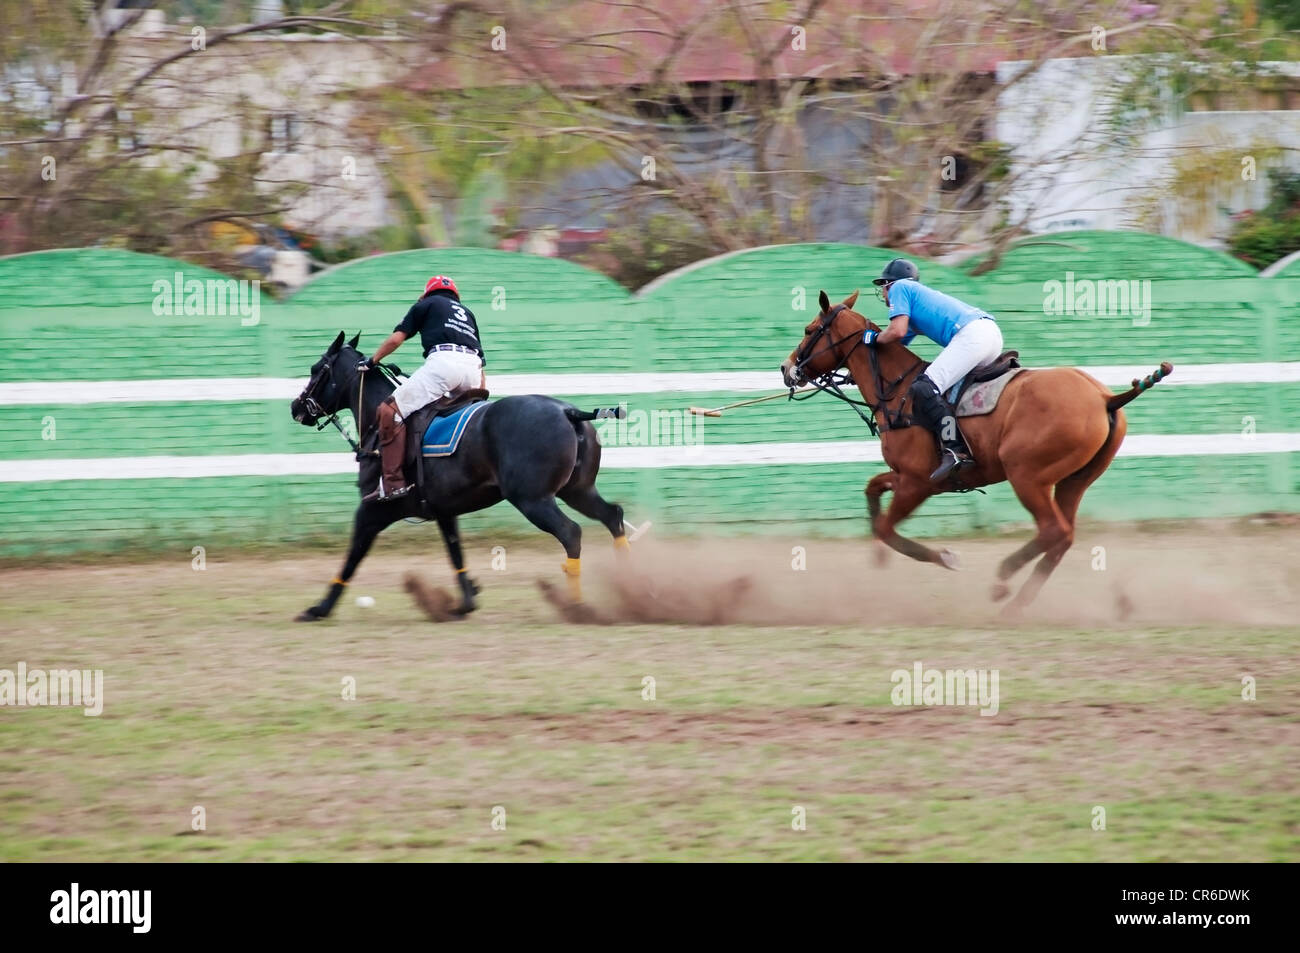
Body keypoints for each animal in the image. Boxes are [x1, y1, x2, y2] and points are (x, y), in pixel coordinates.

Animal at [289, 331, 629, 622]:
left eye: (316, 368)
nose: (296, 407)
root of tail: (568, 413)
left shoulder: (373, 509)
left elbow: (352, 558)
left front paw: (319, 608)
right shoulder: (444, 510)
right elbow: (456, 553)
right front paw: (465, 603)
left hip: (533, 499)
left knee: (571, 533)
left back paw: (577, 607)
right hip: (578, 490)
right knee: (612, 515)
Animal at [780, 290, 1173, 613]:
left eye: (809, 329)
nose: (786, 369)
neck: (896, 392)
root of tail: (1106, 398)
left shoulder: (918, 484)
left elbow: (888, 530)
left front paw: (946, 557)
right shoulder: (909, 477)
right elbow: (873, 491)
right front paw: (878, 557)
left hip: (1027, 476)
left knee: (1053, 531)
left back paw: (1002, 582)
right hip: (1074, 481)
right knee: (1064, 536)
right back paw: (1017, 604)